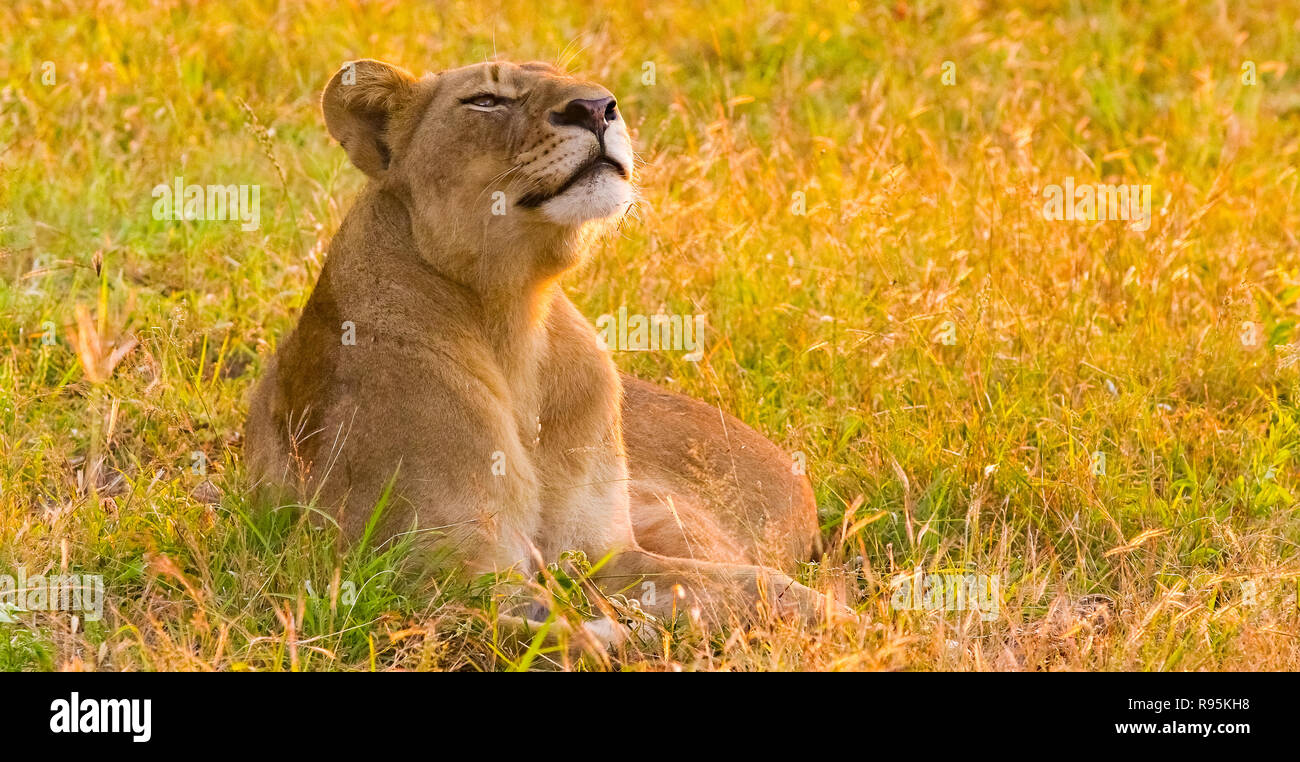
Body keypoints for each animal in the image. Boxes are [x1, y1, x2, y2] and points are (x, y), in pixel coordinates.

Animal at [243, 59, 835, 644]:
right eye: (486, 100)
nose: (597, 108)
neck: (514, 319)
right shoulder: (434, 577)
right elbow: (555, 634)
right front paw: (623, 636)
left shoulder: (603, 551)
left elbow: (755, 583)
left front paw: (837, 624)